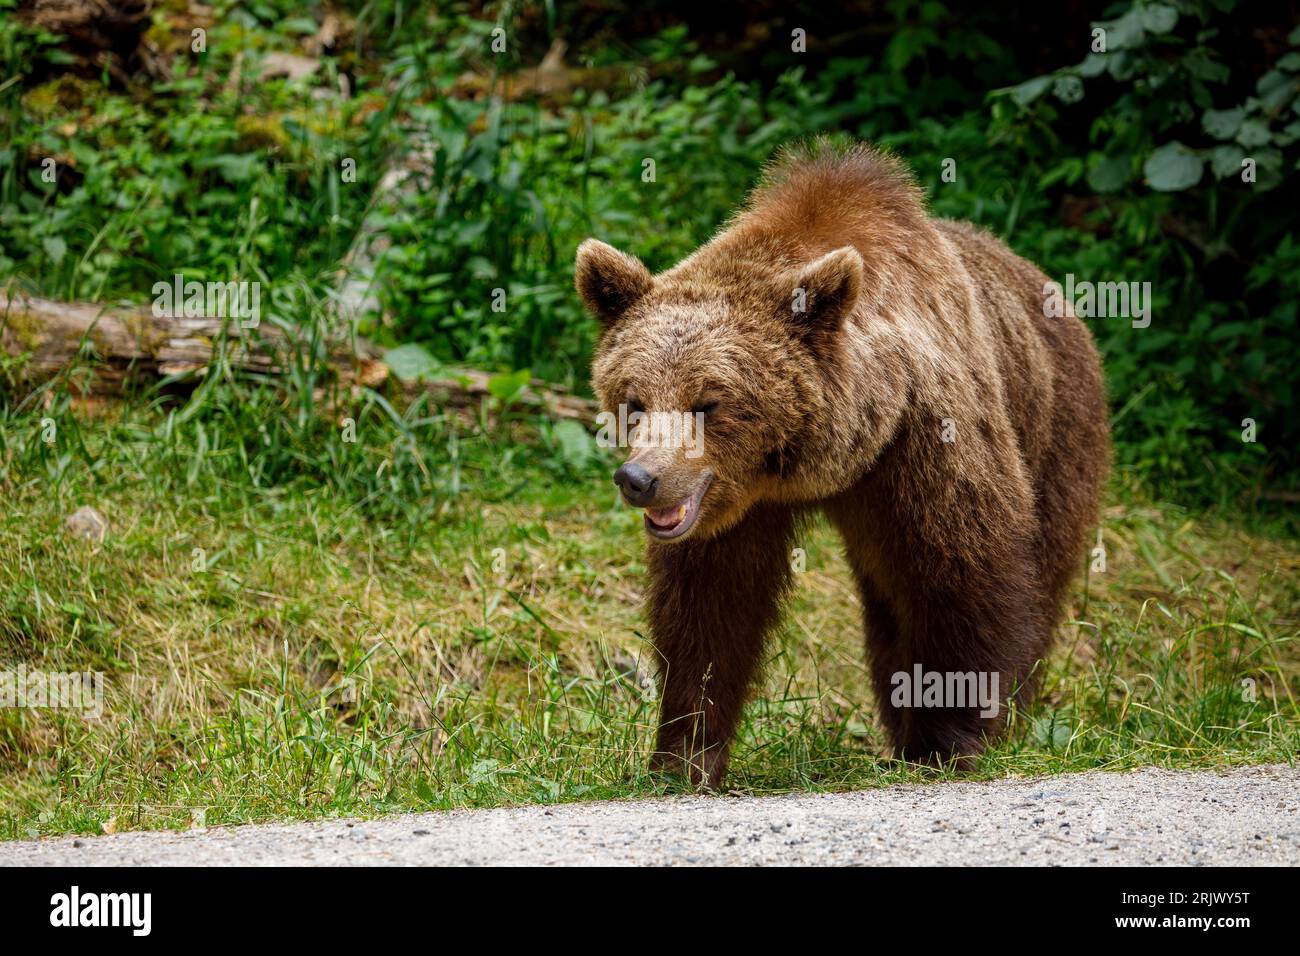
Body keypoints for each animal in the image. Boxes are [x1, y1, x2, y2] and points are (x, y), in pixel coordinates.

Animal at [576, 140, 1109, 789]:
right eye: (633, 399)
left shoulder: (924, 440)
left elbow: (963, 572)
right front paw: (683, 756)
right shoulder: (731, 513)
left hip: (1058, 430)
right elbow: (711, 609)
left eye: (709, 403)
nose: (641, 480)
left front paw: (950, 742)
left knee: (1039, 574)